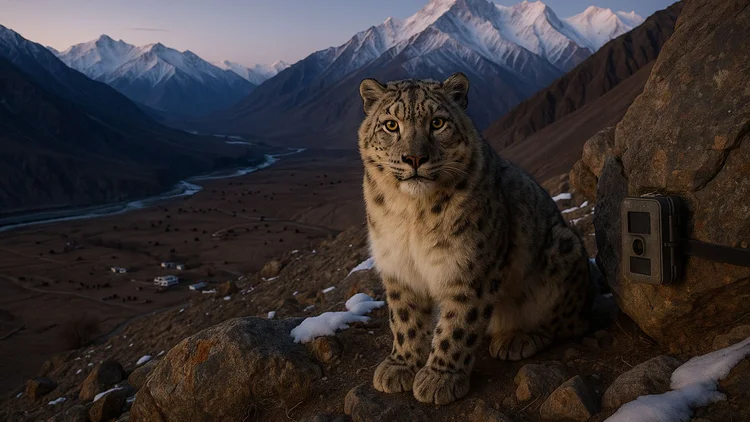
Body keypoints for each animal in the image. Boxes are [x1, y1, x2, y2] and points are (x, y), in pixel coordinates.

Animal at [357, 73, 593, 405]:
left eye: (437, 123)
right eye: (391, 125)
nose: (414, 157)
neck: (412, 214)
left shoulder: (469, 266)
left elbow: (458, 323)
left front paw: (439, 377)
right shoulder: (397, 265)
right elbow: (404, 318)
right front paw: (401, 365)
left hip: (563, 247)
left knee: (567, 323)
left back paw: (518, 337)